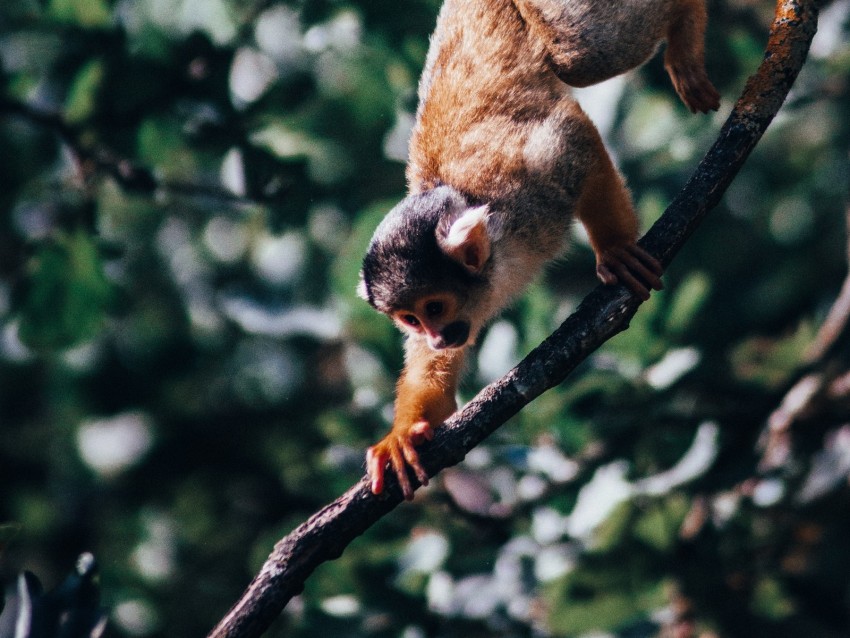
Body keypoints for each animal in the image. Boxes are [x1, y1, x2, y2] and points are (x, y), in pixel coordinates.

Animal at [358, 0, 719, 499]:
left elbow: (570, 135)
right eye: (411, 319)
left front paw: (615, 248)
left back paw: (687, 20)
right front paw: (402, 436)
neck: (497, 258)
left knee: (579, 54)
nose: (434, 335)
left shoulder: (524, 190)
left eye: (434, 307)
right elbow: (438, 387)